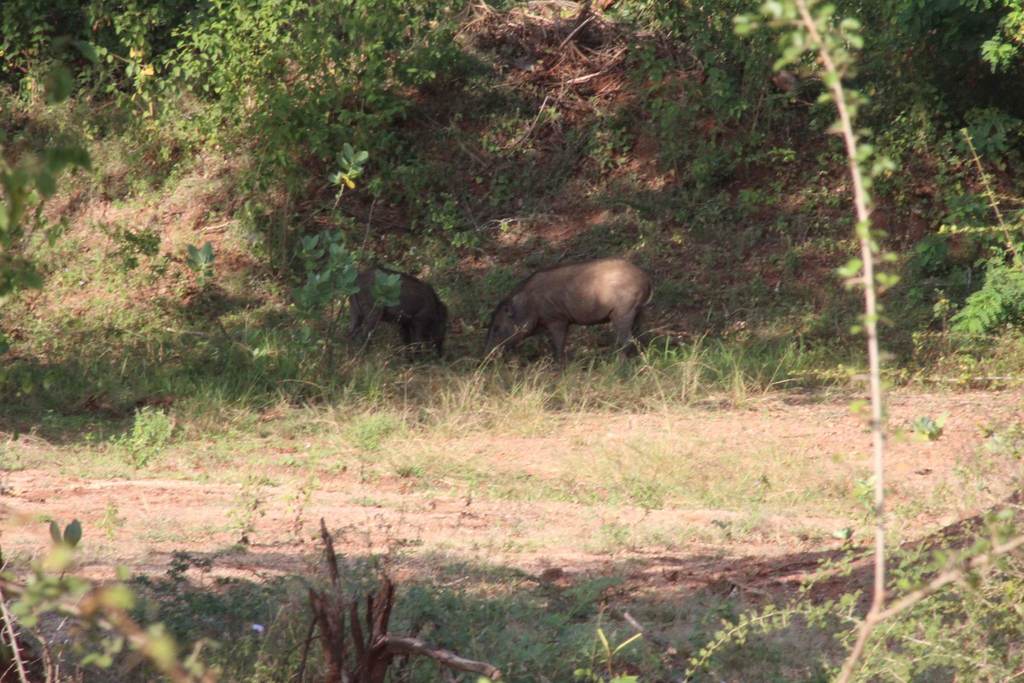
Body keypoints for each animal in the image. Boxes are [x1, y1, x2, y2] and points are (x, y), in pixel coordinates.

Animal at [484, 258, 652, 362]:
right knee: (641, 336)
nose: (486, 357)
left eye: (496, 328)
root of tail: (646, 280)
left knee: (626, 340)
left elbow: (558, 345)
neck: (528, 305)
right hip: (638, 311)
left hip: (623, 312)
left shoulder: (557, 319)